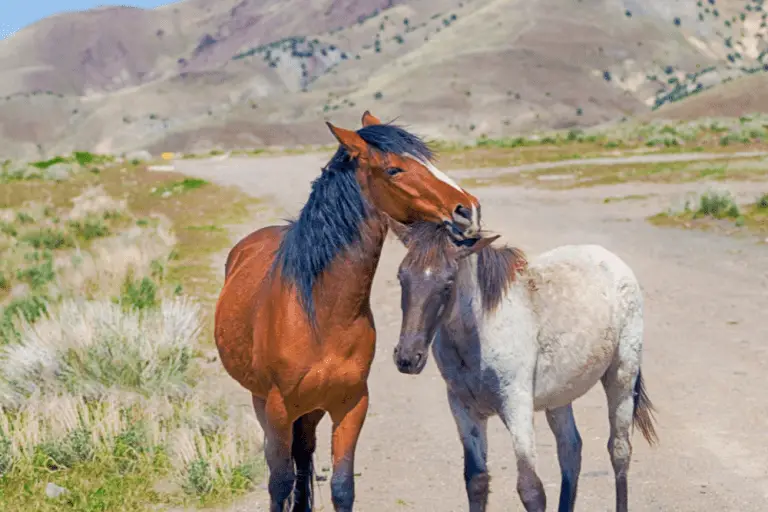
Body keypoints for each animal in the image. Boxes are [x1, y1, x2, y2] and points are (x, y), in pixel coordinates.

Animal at [214, 111, 482, 512]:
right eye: (394, 169)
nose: (468, 209)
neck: (321, 313)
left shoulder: (352, 404)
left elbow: (341, 486)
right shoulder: (278, 408)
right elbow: (279, 482)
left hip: (309, 410)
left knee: (303, 456)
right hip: (265, 402)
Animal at [389, 221, 658, 512]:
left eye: (448, 283)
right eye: (401, 277)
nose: (407, 357)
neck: (480, 333)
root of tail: (612, 260)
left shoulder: (516, 405)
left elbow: (530, 488)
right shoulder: (463, 409)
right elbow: (476, 481)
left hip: (621, 376)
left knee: (619, 451)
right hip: (559, 397)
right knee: (571, 450)